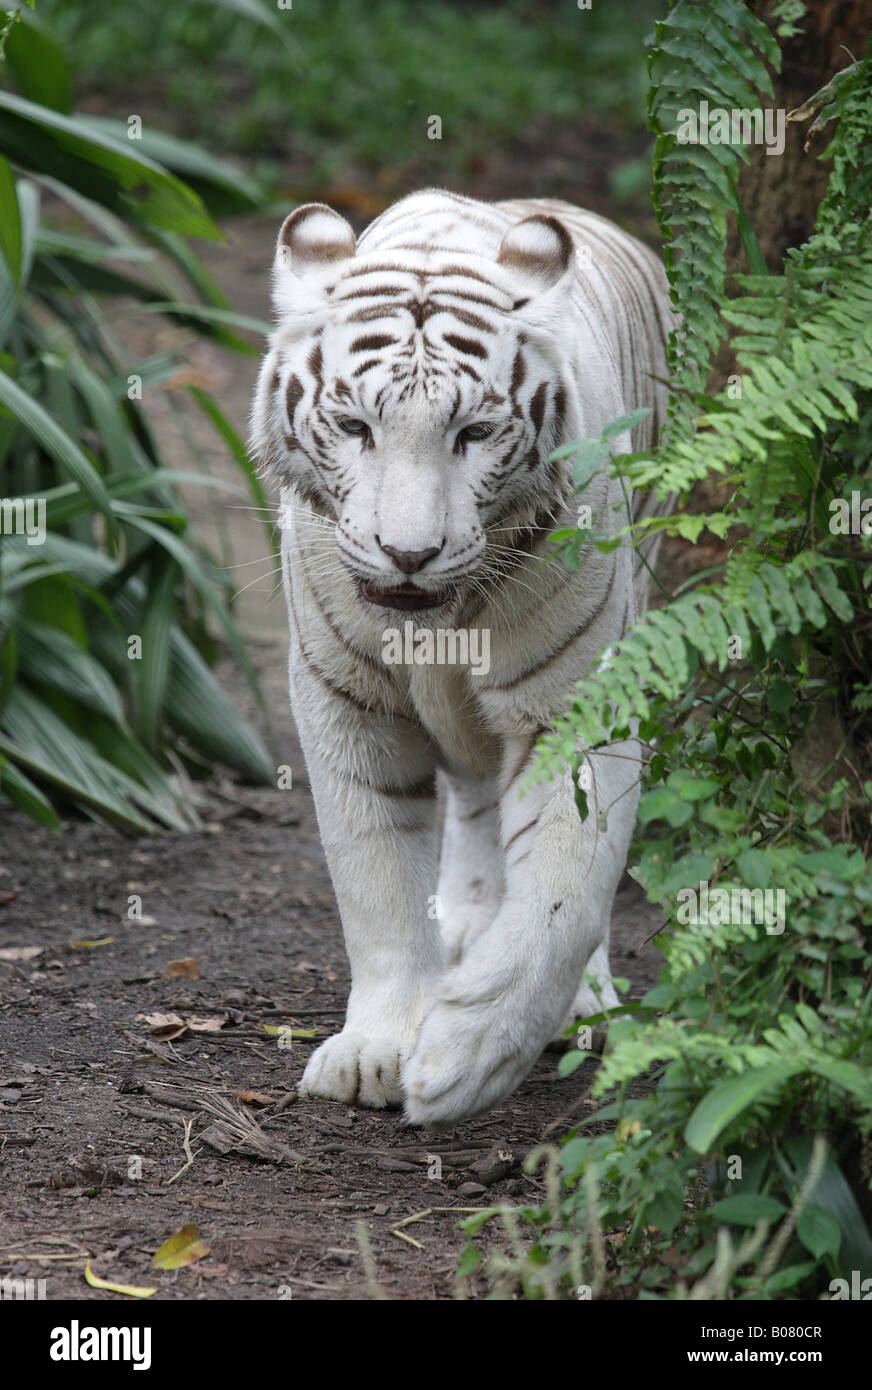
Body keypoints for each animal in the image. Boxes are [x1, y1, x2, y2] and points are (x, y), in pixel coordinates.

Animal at [249, 188, 673, 1127]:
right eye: (354, 426)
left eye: (474, 432)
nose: (408, 554)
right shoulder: (347, 703)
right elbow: (376, 883)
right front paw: (379, 1045)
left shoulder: (574, 704)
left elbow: (564, 890)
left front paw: (466, 1056)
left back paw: (576, 999)